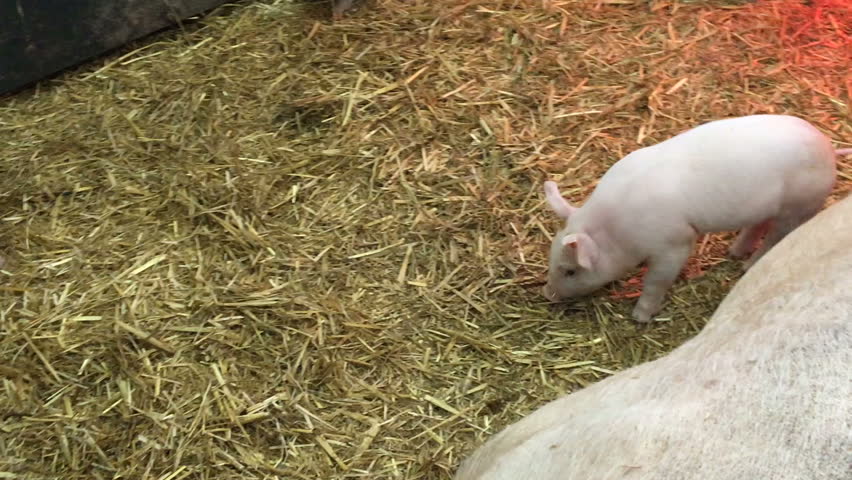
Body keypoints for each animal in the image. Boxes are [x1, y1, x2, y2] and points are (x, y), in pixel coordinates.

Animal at [543, 114, 848, 322]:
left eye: (570, 271)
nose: (547, 294)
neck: (616, 231)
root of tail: (829, 148)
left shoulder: (675, 242)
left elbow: (657, 281)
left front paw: (639, 318)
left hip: (799, 206)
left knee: (776, 238)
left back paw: (747, 266)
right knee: (757, 226)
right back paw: (734, 252)